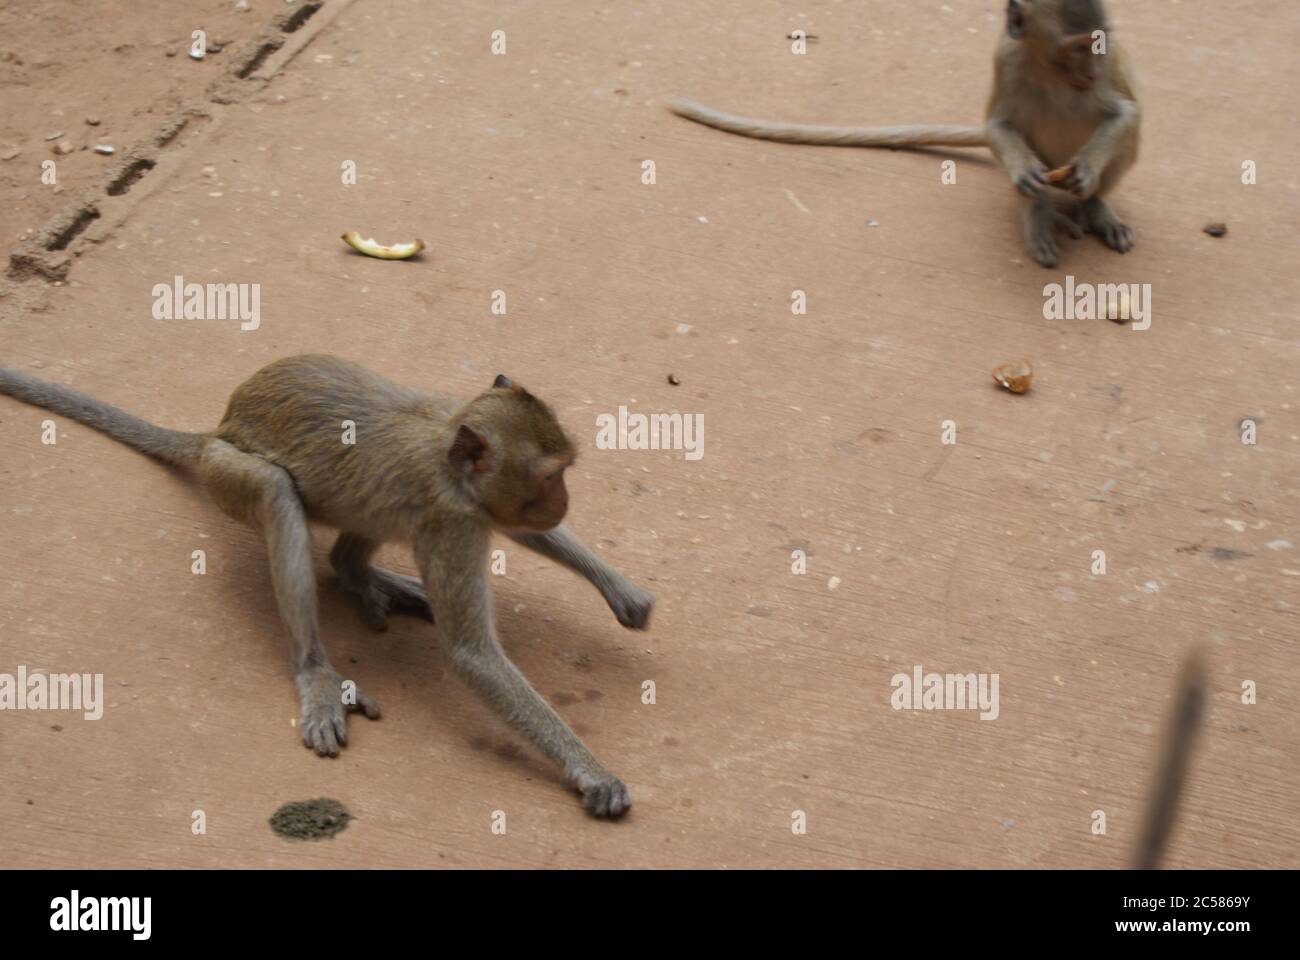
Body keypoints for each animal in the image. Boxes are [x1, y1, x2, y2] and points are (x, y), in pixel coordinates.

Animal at [0, 356, 653, 817]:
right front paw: (592, 772)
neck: (450, 451)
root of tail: (214, 430)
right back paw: (315, 670)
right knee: (276, 494)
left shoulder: (476, 495)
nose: (564, 502)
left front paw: (620, 590)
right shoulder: (453, 520)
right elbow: (474, 656)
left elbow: (524, 532)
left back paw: (358, 573)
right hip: (227, 474)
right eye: (551, 478)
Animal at [668, 0, 1139, 268]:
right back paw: (1039, 211)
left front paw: (1088, 170)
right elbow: (999, 125)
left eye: (1097, 43)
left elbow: (1125, 113)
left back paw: (1093, 206)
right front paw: (1028, 179)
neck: (1049, 70)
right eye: (1075, 48)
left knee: (1127, 138)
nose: (1091, 71)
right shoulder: (1007, 57)